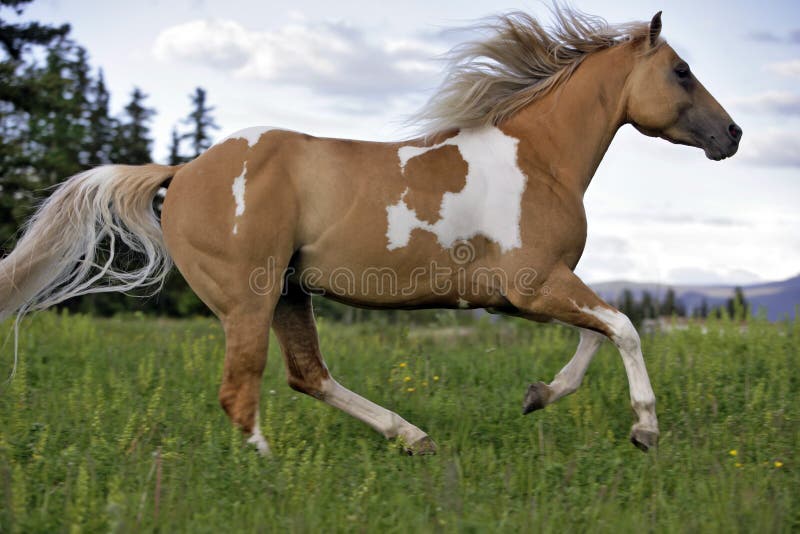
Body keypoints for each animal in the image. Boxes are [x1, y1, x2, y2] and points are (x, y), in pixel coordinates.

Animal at [0, 9, 741, 455]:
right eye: (681, 70)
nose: (732, 135)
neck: (539, 157)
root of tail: (181, 173)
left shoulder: (532, 292)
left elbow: (597, 333)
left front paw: (538, 395)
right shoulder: (533, 285)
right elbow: (624, 327)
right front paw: (644, 427)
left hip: (289, 294)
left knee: (307, 376)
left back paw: (412, 437)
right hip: (249, 298)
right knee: (242, 390)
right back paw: (270, 471)